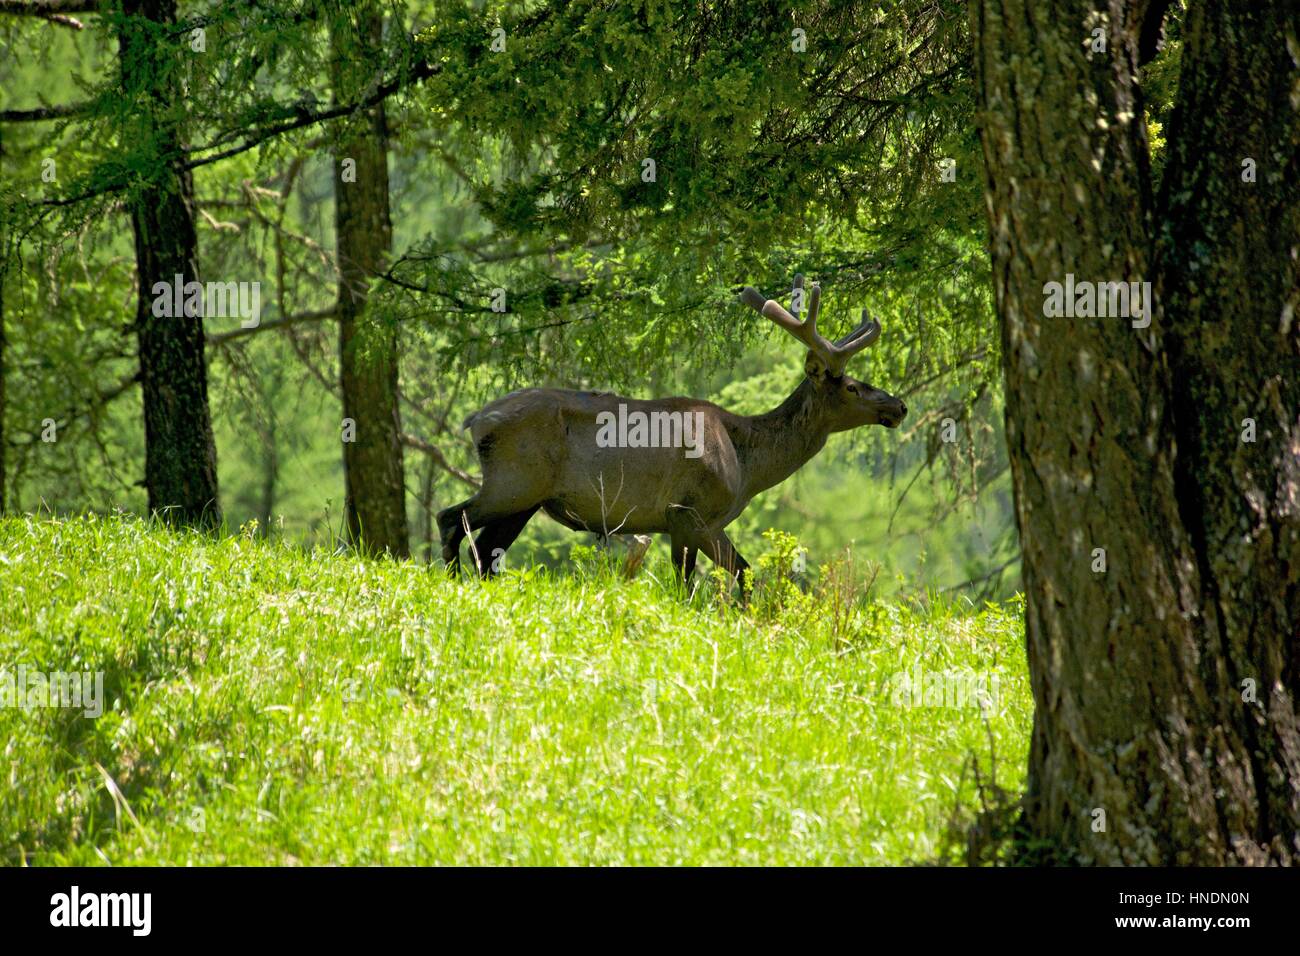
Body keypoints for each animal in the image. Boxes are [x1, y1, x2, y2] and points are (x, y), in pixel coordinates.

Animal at [437, 275, 908, 593]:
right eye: (851, 386)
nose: (898, 406)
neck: (746, 465)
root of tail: (476, 420)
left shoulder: (707, 522)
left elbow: (744, 572)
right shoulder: (686, 510)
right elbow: (689, 585)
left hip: (526, 498)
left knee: (487, 550)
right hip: (514, 481)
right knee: (451, 519)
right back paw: (448, 580)